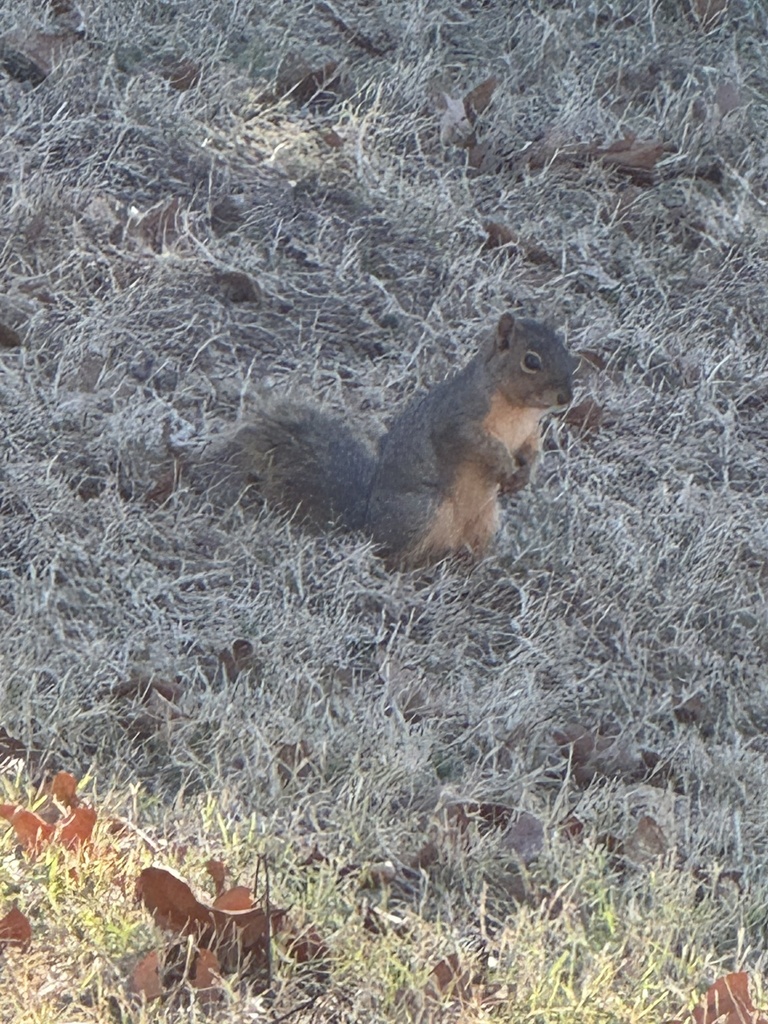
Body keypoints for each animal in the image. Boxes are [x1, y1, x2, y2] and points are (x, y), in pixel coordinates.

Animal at [225, 313, 576, 565]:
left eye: (566, 352)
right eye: (531, 361)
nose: (566, 397)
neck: (518, 409)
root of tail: (366, 524)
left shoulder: (530, 432)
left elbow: (532, 450)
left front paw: (526, 473)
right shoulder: (459, 419)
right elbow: (477, 443)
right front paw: (504, 464)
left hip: (486, 520)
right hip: (422, 510)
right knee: (393, 554)